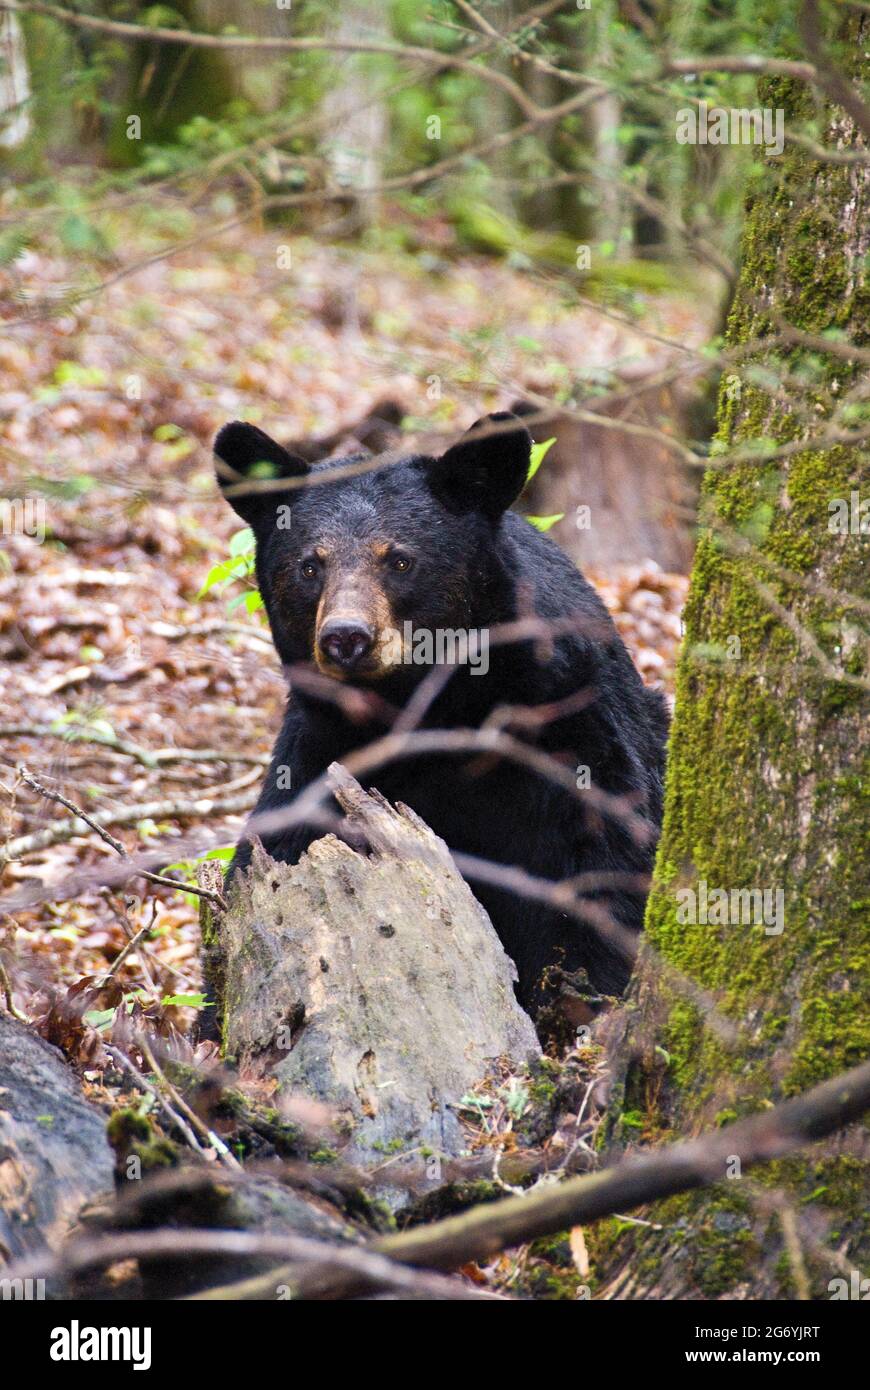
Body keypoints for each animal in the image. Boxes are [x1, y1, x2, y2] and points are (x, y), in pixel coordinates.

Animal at [209, 410, 668, 1027]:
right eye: (309, 566)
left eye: (400, 559)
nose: (346, 638)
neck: (433, 710)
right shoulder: (319, 755)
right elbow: (278, 851)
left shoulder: (574, 730)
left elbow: (600, 874)